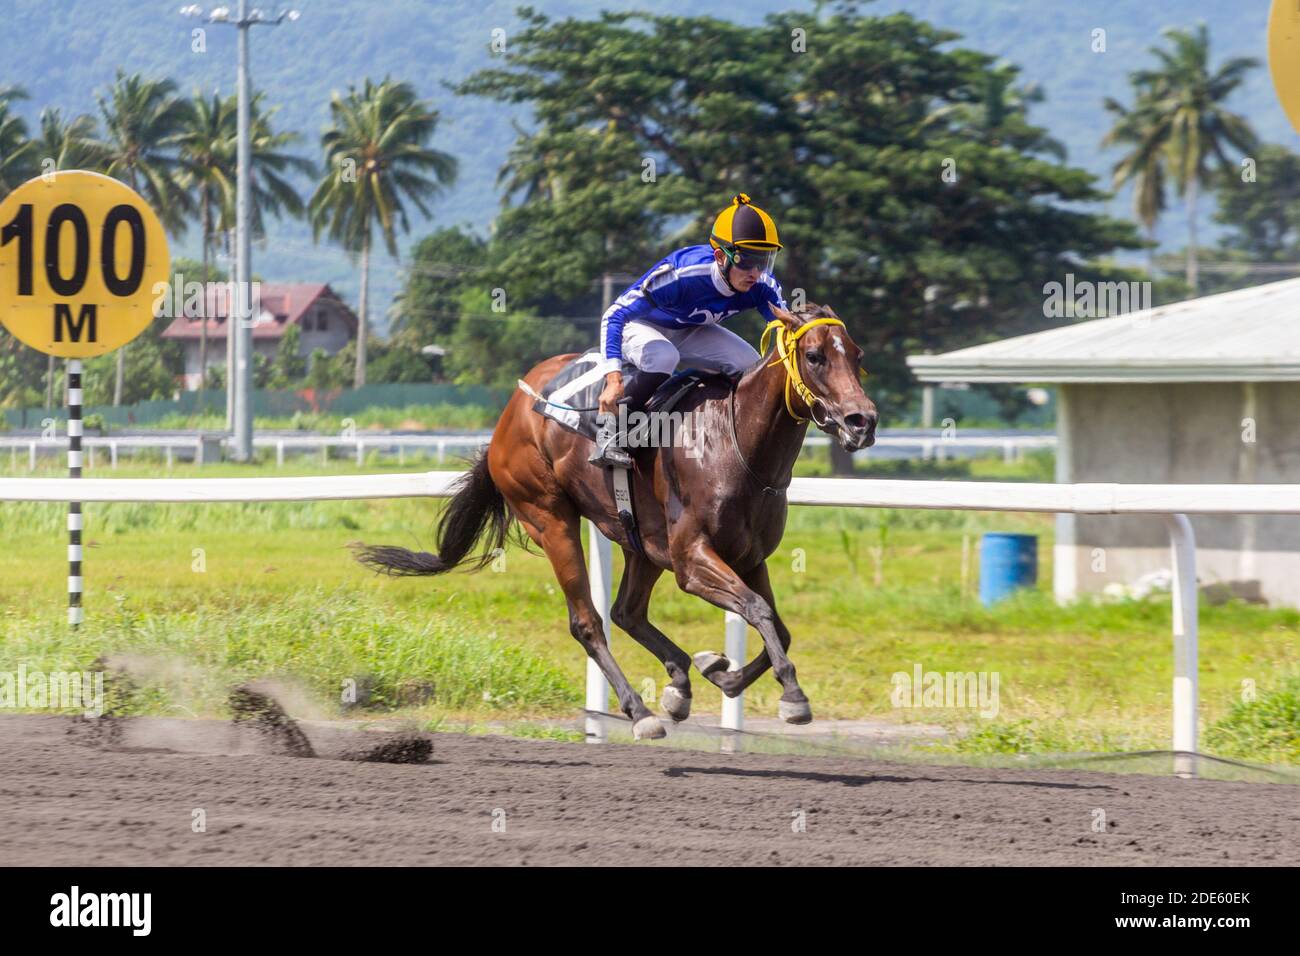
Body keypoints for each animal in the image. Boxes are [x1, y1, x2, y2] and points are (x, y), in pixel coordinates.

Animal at [354, 303, 877, 740]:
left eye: (856, 354)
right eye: (814, 356)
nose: (862, 421)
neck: (736, 445)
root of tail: (507, 417)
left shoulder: (749, 557)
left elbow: (773, 623)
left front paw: (719, 672)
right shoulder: (692, 559)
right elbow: (759, 611)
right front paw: (793, 697)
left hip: (637, 539)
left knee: (627, 611)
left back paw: (678, 681)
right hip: (551, 519)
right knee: (589, 621)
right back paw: (640, 711)